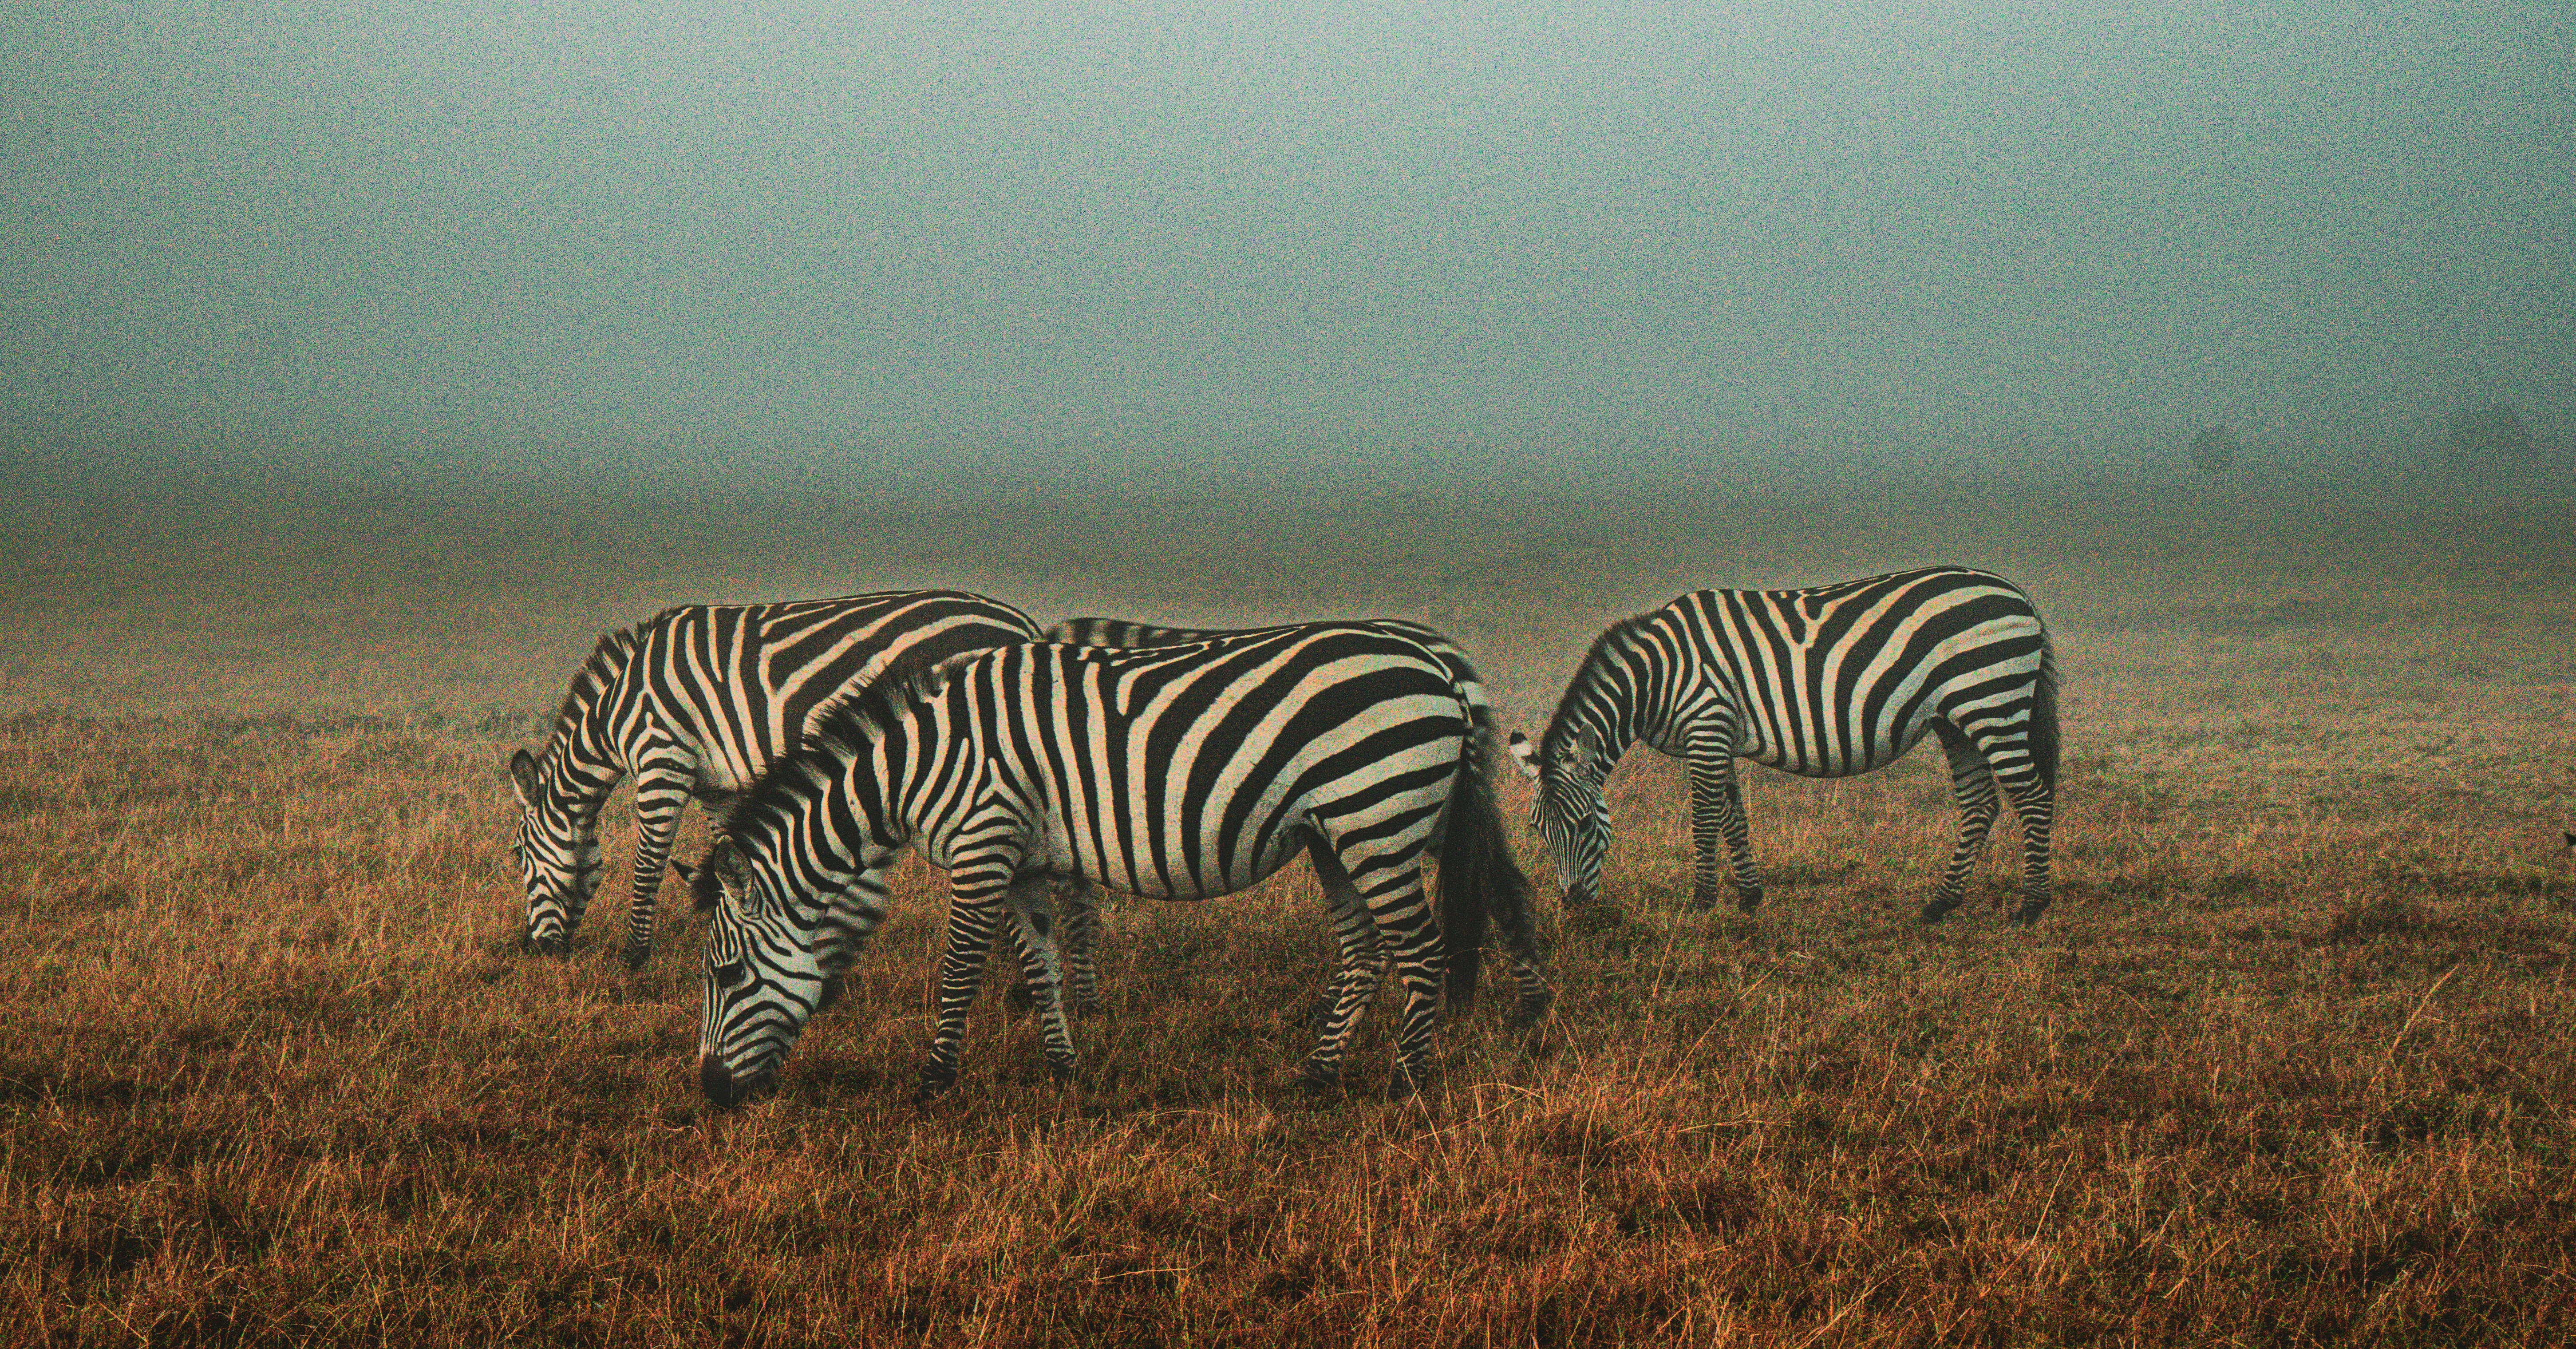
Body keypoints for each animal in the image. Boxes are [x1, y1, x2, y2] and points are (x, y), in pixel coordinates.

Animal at [506, 590, 1045, 968]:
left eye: (518, 855)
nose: (536, 951)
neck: (618, 708)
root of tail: (1022, 622)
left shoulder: (664, 760)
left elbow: (648, 863)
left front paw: (635, 956)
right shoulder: (717, 787)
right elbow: (728, 851)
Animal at [689, 625, 1552, 1107]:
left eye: (727, 975)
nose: (710, 1092)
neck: (916, 766)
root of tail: (1437, 668)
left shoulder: (981, 841)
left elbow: (960, 968)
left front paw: (932, 1083)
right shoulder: (1022, 860)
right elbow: (1040, 966)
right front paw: (1063, 1069)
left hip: (1378, 814)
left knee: (1422, 950)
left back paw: (1406, 1084)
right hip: (1338, 832)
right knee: (1366, 952)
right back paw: (1316, 1075)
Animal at [1507, 565, 2060, 924]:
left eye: (1583, 824)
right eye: (1537, 830)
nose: (1573, 906)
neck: (1656, 676)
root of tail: (2020, 596)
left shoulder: (1706, 725)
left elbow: (1703, 818)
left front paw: (1701, 902)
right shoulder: (1717, 736)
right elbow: (1731, 815)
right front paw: (1750, 898)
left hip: (1991, 701)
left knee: (2031, 796)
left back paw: (2031, 906)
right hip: (1956, 718)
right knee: (1980, 804)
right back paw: (1942, 903)